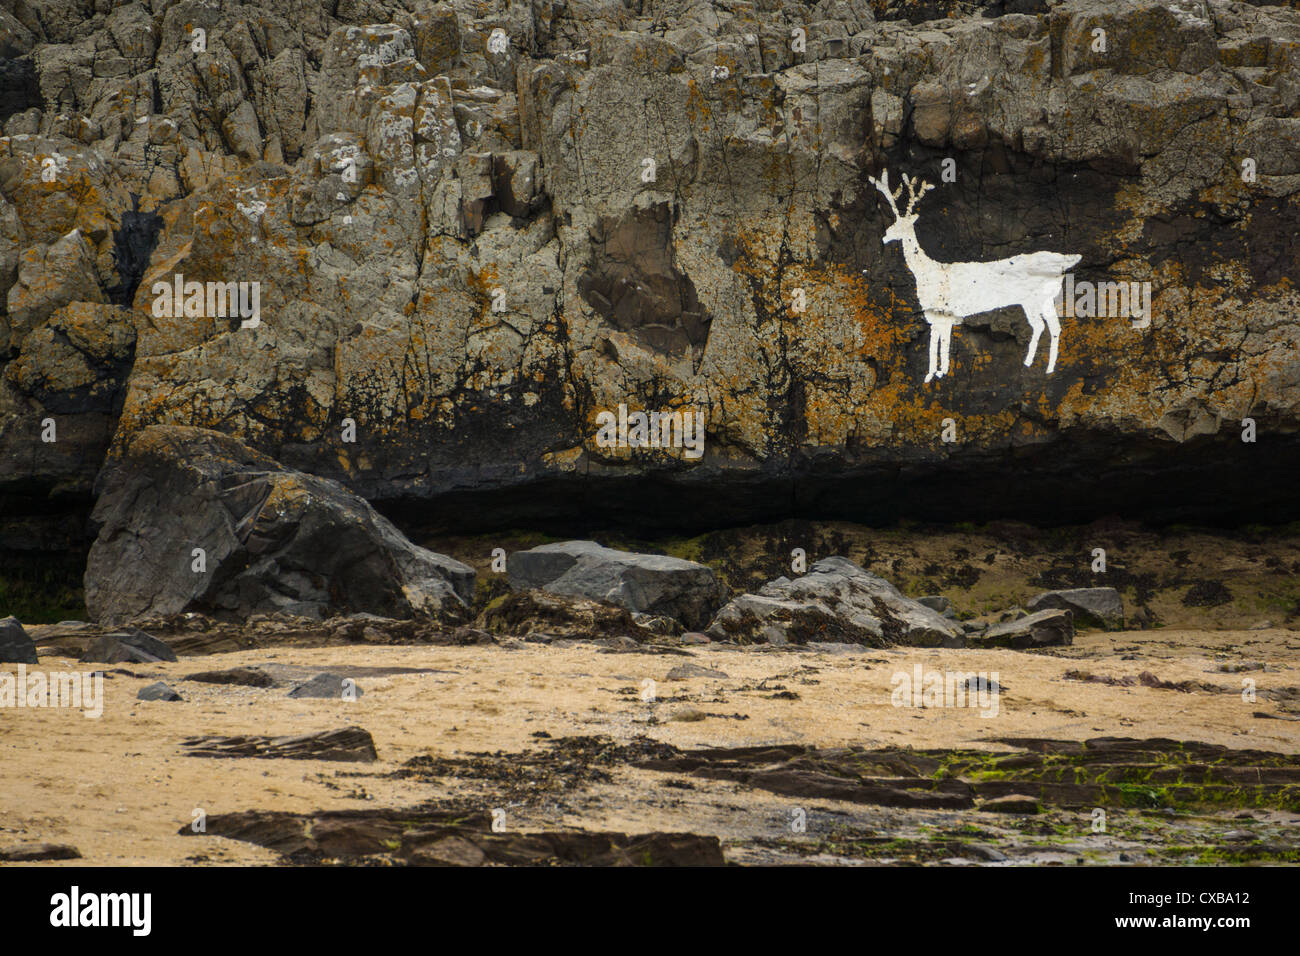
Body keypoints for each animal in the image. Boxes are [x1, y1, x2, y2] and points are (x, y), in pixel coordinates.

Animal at [867, 169, 1082, 383]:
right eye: (894, 223)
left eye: (900, 226)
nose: (884, 237)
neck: (927, 272)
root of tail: (1063, 263)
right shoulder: (934, 314)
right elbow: (934, 342)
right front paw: (931, 374)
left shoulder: (945, 311)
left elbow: (943, 342)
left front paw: (941, 371)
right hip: (1044, 300)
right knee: (1052, 328)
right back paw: (1043, 367)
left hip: (1034, 299)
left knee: (1041, 326)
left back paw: (1035, 365)